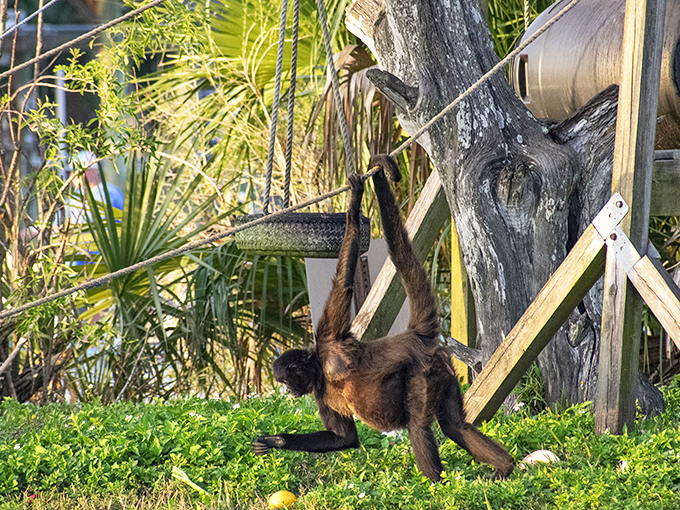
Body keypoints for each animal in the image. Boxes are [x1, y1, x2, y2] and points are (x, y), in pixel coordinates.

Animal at [251, 155, 514, 482]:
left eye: (286, 380)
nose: (289, 392)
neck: (321, 369)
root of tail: (416, 335)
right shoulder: (320, 392)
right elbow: (344, 438)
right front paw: (276, 441)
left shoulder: (329, 338)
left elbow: (344, 283)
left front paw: (354, 202)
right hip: (444, 372)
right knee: (456, 426)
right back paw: (506, 468)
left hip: (422, 373)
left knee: (418, 426)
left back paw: (436, 485)